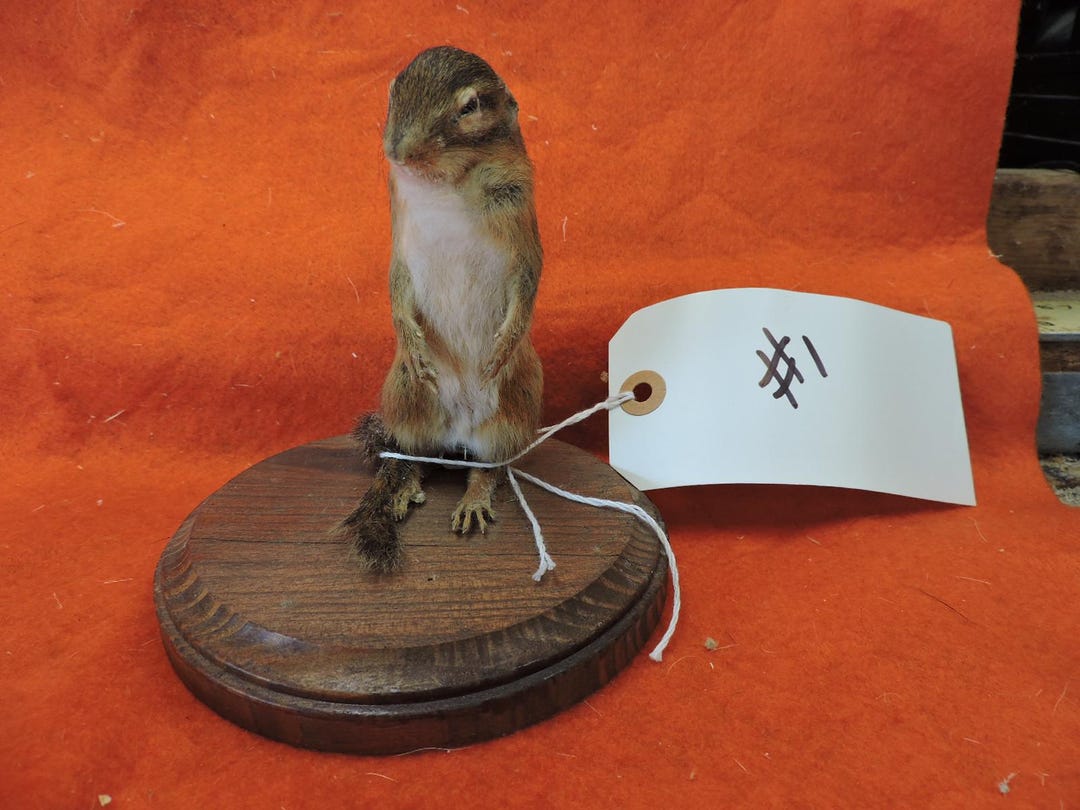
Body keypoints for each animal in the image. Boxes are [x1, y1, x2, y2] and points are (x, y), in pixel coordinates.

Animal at [336, 46, 544, 573]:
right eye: (394, 90)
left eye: (470, 107)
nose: (397, 151)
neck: (446, 183)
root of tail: (460, 434)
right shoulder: (400, 242)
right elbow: (395, 286)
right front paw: (409, 337)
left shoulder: (522, 228)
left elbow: (529, 281)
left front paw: (502, 346)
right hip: (407, 401)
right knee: (416, 456)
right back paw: (404, 486)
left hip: (510, 417)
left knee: (488, 467)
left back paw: (474, 498)